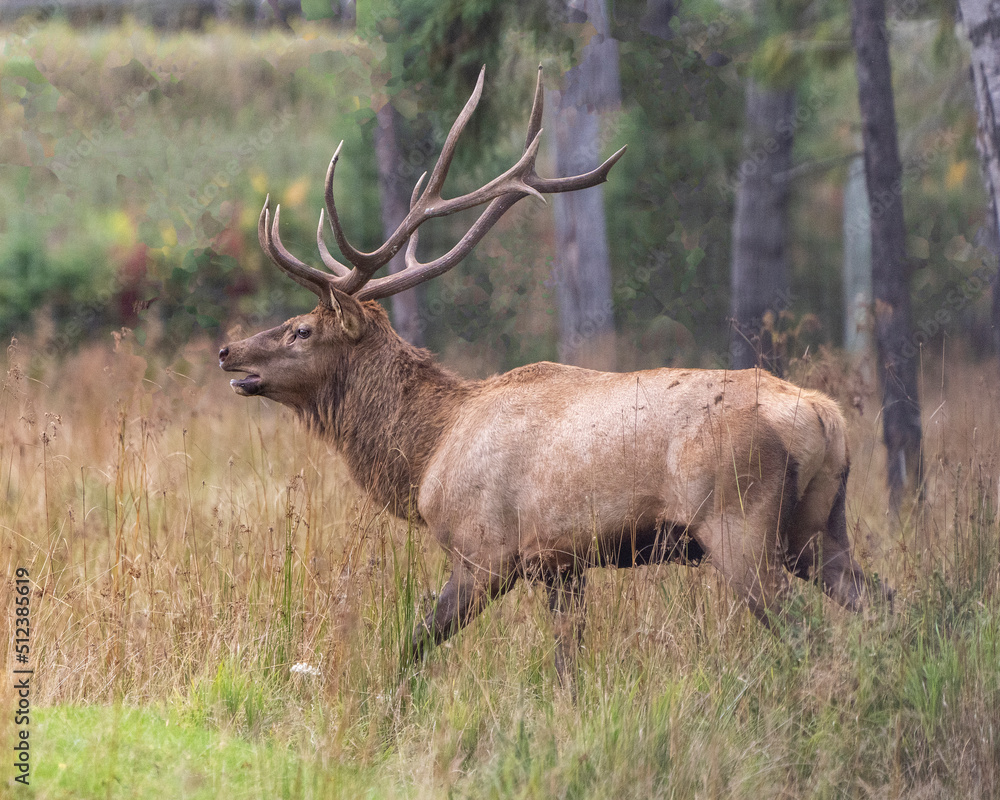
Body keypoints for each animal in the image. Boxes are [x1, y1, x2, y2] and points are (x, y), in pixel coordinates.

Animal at [219, 67, 890, 680]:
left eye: (302, 331)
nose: (229, 352)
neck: (427, 454)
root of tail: (825, 418)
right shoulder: (562, 564)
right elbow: (568, 666)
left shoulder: (487, 551)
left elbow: (411, 648)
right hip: (818, 532)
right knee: (886, 606)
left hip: (740, 526)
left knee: (812, 641)